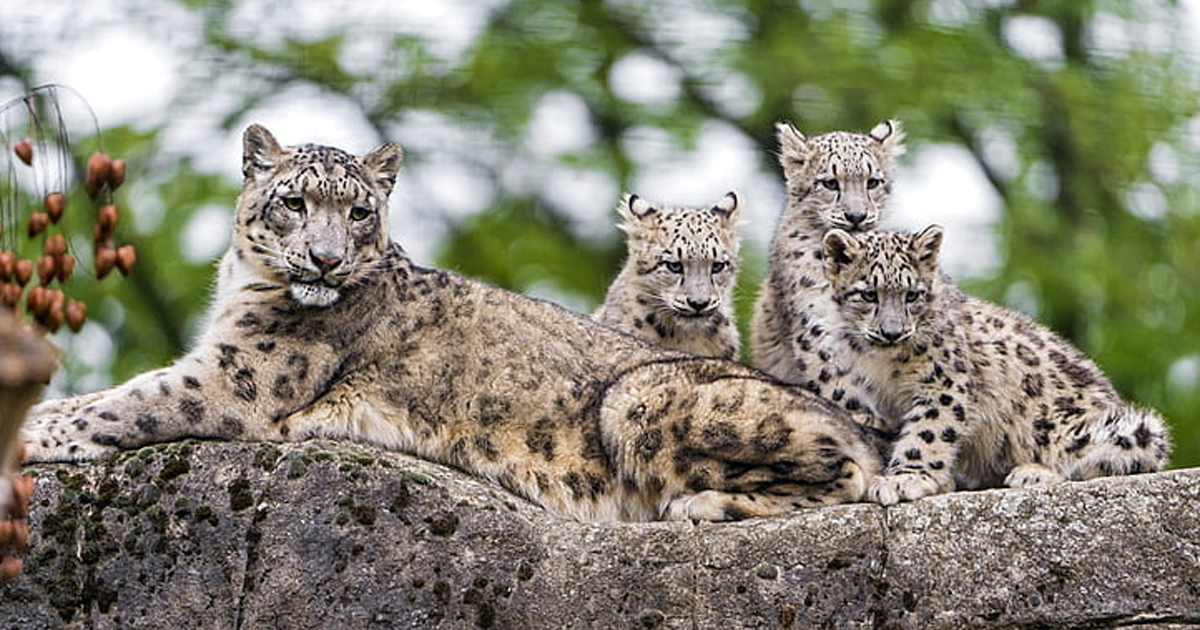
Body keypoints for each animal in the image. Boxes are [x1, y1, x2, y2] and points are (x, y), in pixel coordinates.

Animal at [750, 119, 905, 429]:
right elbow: (832, 374)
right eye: (830, 183)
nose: (856, 216)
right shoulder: (816, 319)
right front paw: (863, 414)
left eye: (872, 182)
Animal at [820, 225, 1170, 505]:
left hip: (1119, 430)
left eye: (912, 295)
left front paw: (904, 479)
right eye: (868, 294)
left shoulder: (943, 384)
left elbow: (928, 432)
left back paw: (1033, 473)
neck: (884, 366)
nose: (892, 332)